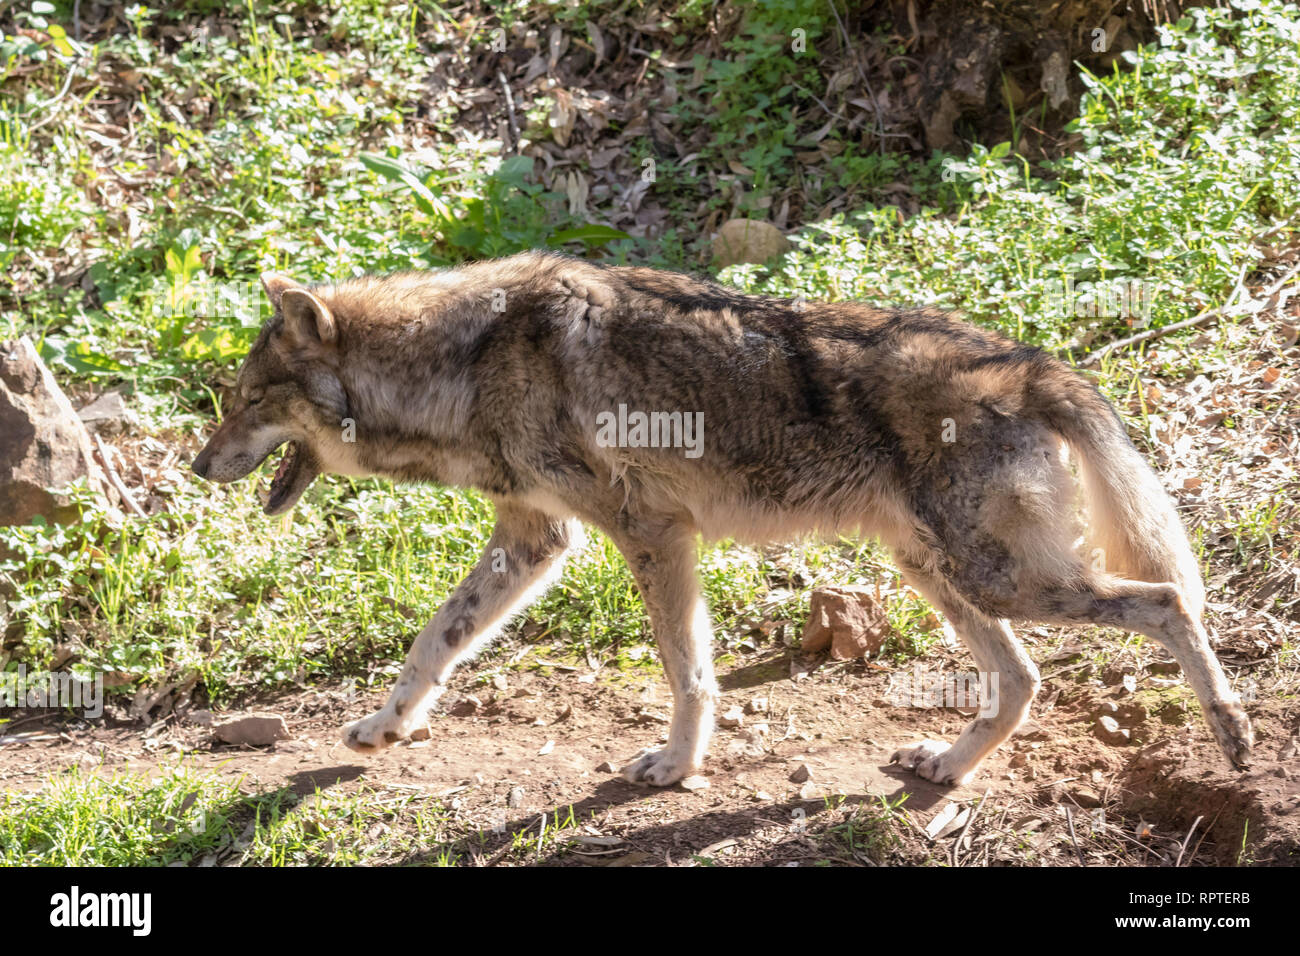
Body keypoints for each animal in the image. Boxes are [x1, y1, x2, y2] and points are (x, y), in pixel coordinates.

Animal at [191, 251, 1253, 787]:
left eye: (247, 400)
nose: (198, 467)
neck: (464, 362)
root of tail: (1032, 363)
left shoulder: (650, 536)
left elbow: (689, 675)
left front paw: (675, 765)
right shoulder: (536, 540)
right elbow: (433, 642)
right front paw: (385, 725)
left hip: (996, 576)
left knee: (1167, 602)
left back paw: (1234, 733)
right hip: (937, 572)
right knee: (1025, 679)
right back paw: (947, 769)